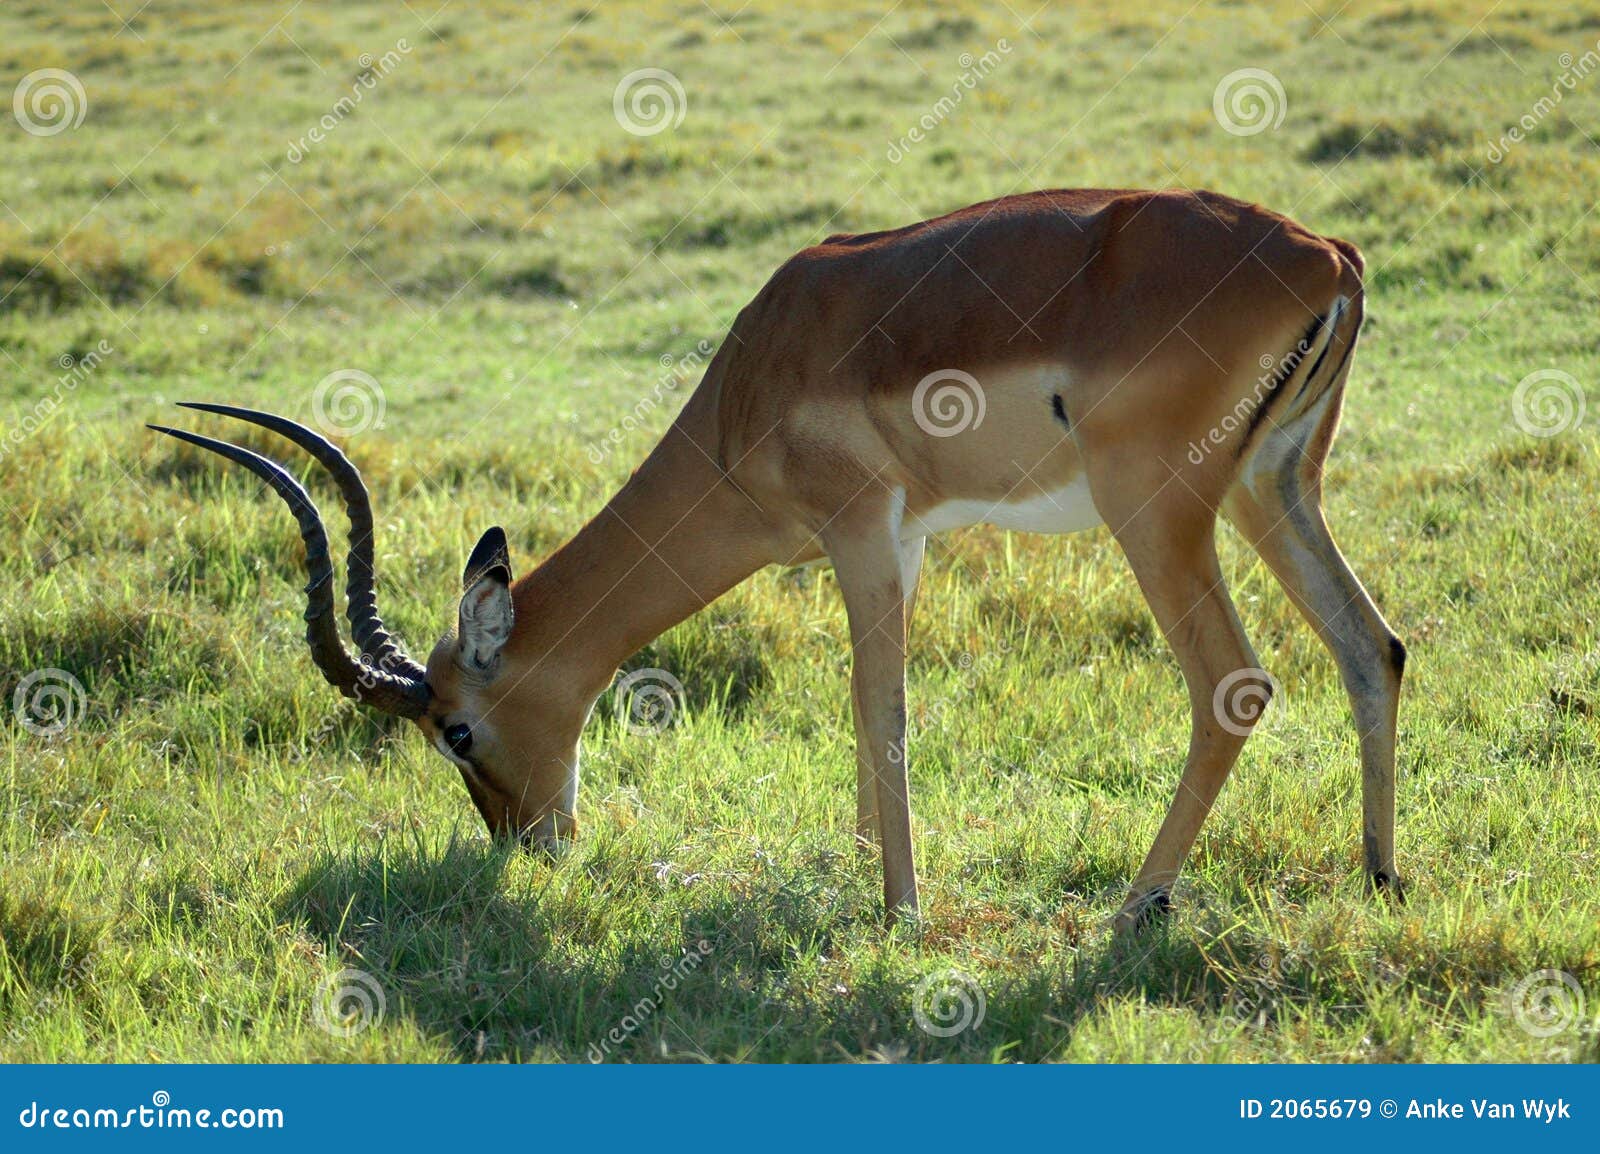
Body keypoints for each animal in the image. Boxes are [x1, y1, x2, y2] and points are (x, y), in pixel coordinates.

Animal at [152, 187, 1405, 932]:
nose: (530, 842)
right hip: (1273, 487)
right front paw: (853, 871)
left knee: (1234, 684)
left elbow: (882, 707)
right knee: (1372, 646)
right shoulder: (900, 541)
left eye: (456, 728)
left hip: (1155, 509)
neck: (748, 386)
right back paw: (1380, 875)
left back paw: (1134, 907)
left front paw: (898, 913)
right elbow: (862, 709)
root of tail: (1326, 256)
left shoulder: (860, 531)